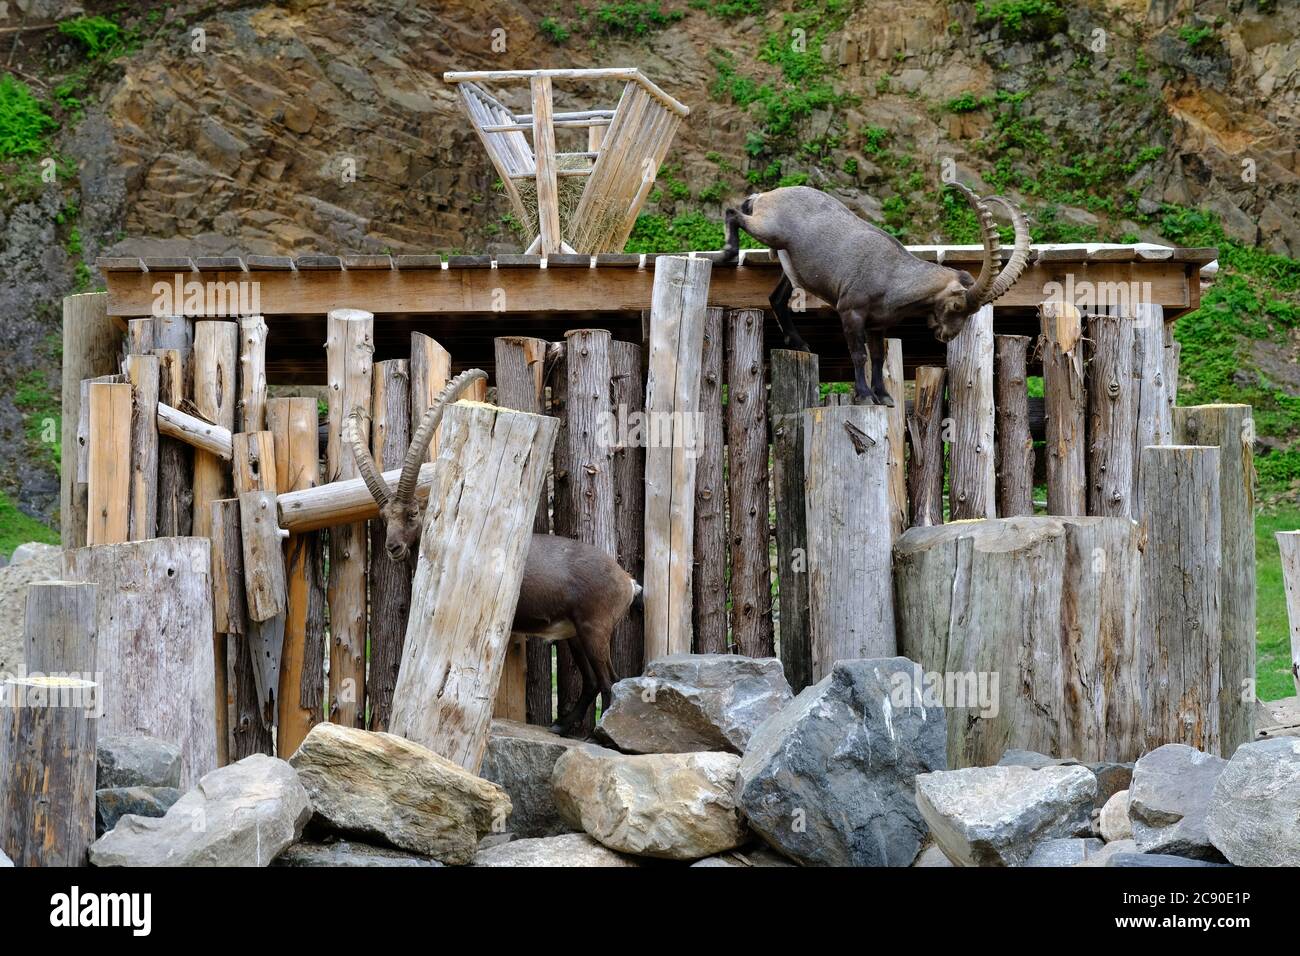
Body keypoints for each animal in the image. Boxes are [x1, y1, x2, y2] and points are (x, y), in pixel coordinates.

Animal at [347, 368, 640, 737]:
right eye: (386, 518)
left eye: (413, 513)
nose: (393, 547)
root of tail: (627, 582)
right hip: (574, 633)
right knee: (591, 681)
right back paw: (561, 725)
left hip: (595, 628)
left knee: (609, 681)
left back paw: (599, 736)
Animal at [720, 182, 1030, 405]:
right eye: (956, 306)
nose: (947, 336)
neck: (893, 276)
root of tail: (764, 195)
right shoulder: (850, 313)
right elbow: (859, 355)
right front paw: (865, 395)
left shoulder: (877, 325)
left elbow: (879, 357)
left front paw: (884, 396)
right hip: (770, 229)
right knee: (733, 213)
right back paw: (728, 252)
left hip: (790, 263)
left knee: (777, 298)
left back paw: (800, 344)